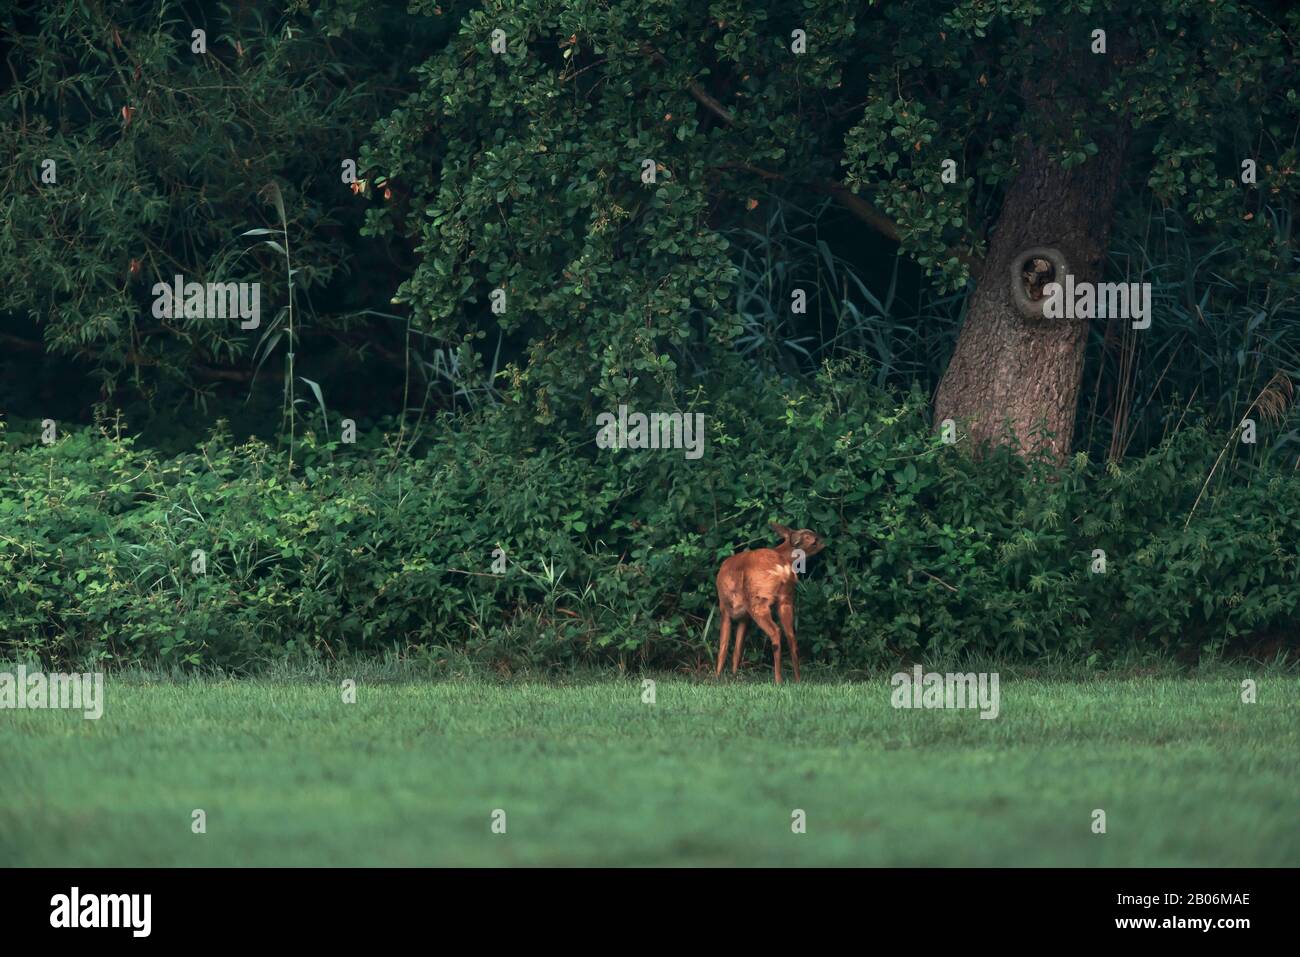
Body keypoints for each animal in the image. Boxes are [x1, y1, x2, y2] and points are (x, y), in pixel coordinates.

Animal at [714, 522, 825, 684]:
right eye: (814, 540)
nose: (824, 541)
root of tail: (783, 568)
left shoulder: (725, 609)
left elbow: (723, 646)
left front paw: (717, 678)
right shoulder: (744, 618)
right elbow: (737, 649)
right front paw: (734, 677)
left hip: (758, 602)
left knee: (776, 631)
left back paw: (778, 679)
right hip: (785, 600)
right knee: (791, 636)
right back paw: (797, 679)